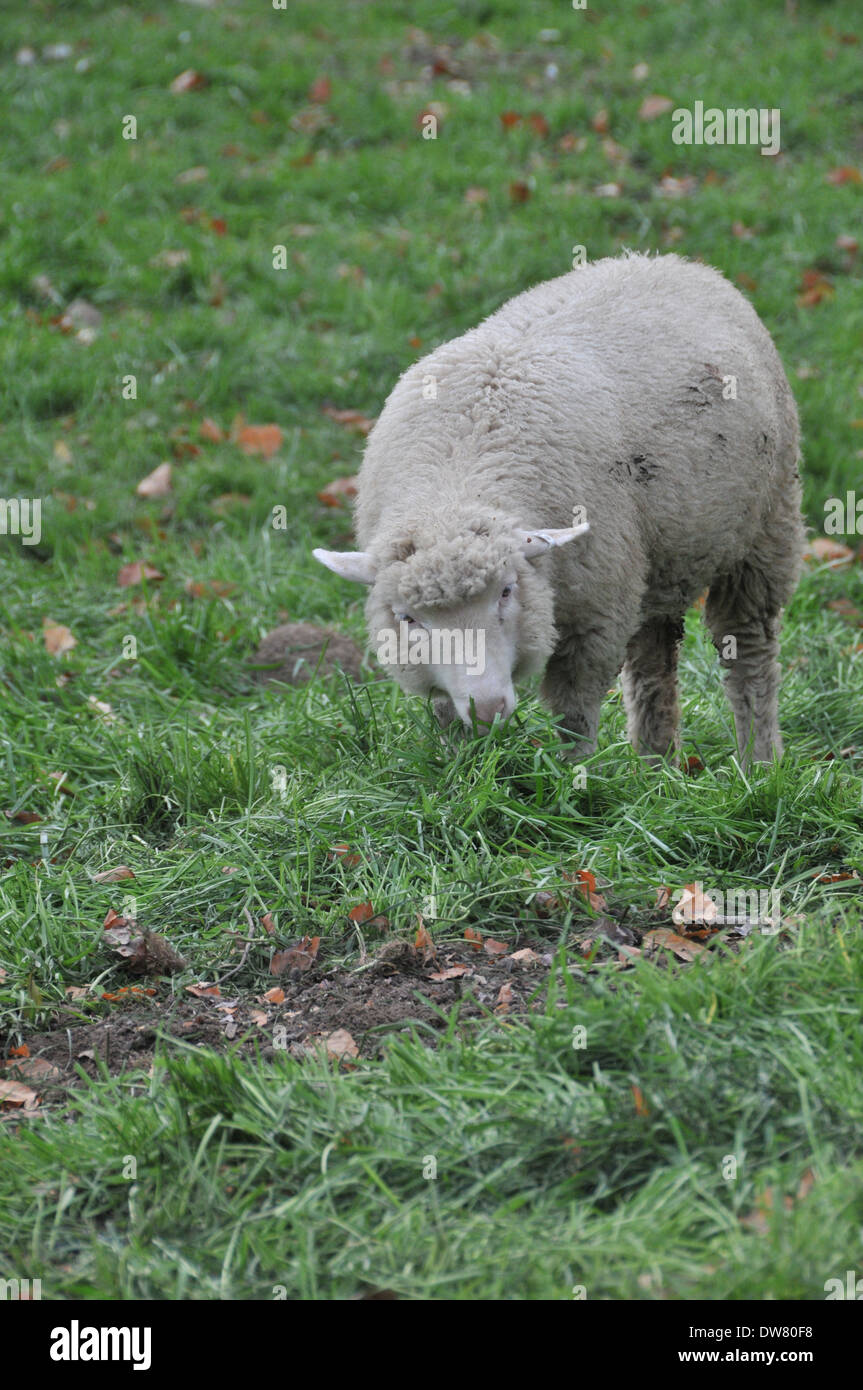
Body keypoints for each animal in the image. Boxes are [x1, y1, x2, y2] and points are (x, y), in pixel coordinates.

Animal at [314, 252, 805, 764]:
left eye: (507, 591)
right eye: (408, 618)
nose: (489, 709)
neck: (455, 486)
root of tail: (670, 261)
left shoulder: (595, 614)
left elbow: (574, 710)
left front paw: (575, 774)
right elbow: (449, 715)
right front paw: (462, 768)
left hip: (766, 528)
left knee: (748, 649)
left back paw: (759, 762)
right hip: (659, 554)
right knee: (654, 655)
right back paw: (656, 763)